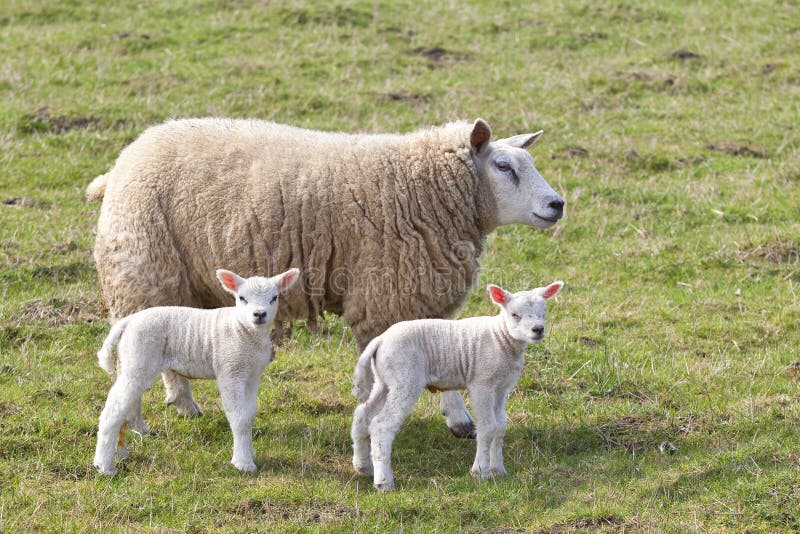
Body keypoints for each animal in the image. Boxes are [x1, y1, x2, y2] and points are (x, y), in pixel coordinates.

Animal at [87, 117, 564, 439]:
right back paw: (149, 419)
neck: (424, 190)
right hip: (144, 271)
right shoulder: (387, 296)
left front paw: (459, 419)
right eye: (503, 166)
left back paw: (184, 405)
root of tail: (122, 162)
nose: (557, 204)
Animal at [92, 267, 300, 476]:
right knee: (113, 410)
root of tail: (128, 321)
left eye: (274, 298)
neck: (242, 329)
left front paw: (248, 455)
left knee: (128, 401)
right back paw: (104, 466)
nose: (259, 314)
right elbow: (238, 418)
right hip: (139, 355)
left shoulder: (252, 376)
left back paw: (130, 442)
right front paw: (243, 464)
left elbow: (248, 416)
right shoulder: (230, 371)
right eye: (242, 298)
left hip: (133, 362)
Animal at [350, 280, 564, 492]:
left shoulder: (502, 388)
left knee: (363, 414)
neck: (501, 337)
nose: (538, 329)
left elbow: (501, 426)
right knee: (381, 424)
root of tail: (380, 340)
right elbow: (488, 427)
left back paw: (363, 466)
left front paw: (499, 469)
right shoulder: (482, 383)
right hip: (405, 378)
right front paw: (481, 471)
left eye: (544, 312)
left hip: (385, 381)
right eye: (514, 315)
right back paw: (384, 482)